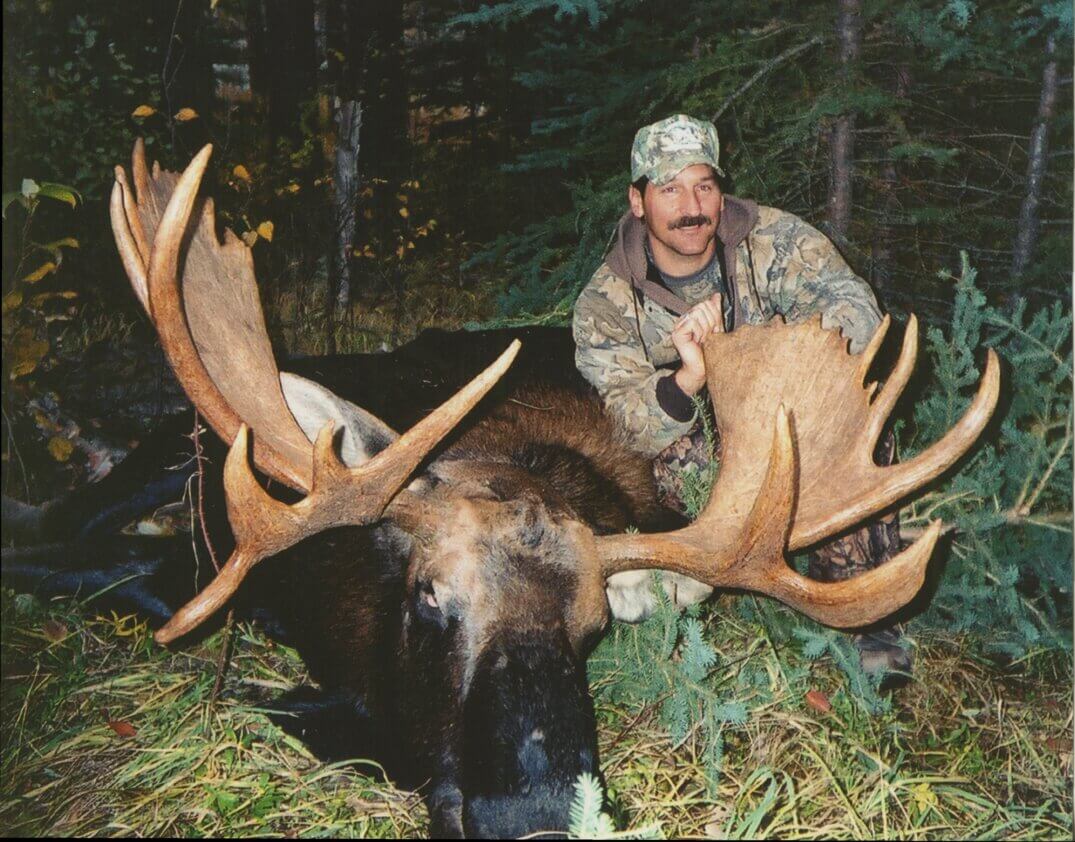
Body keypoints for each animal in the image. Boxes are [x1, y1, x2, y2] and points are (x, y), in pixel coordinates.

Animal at [0, 141, 1000, 838]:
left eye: (591, 631)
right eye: (427, 599)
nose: (539, 820)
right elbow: (94, 570)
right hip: (171, 446)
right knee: (71, 503)